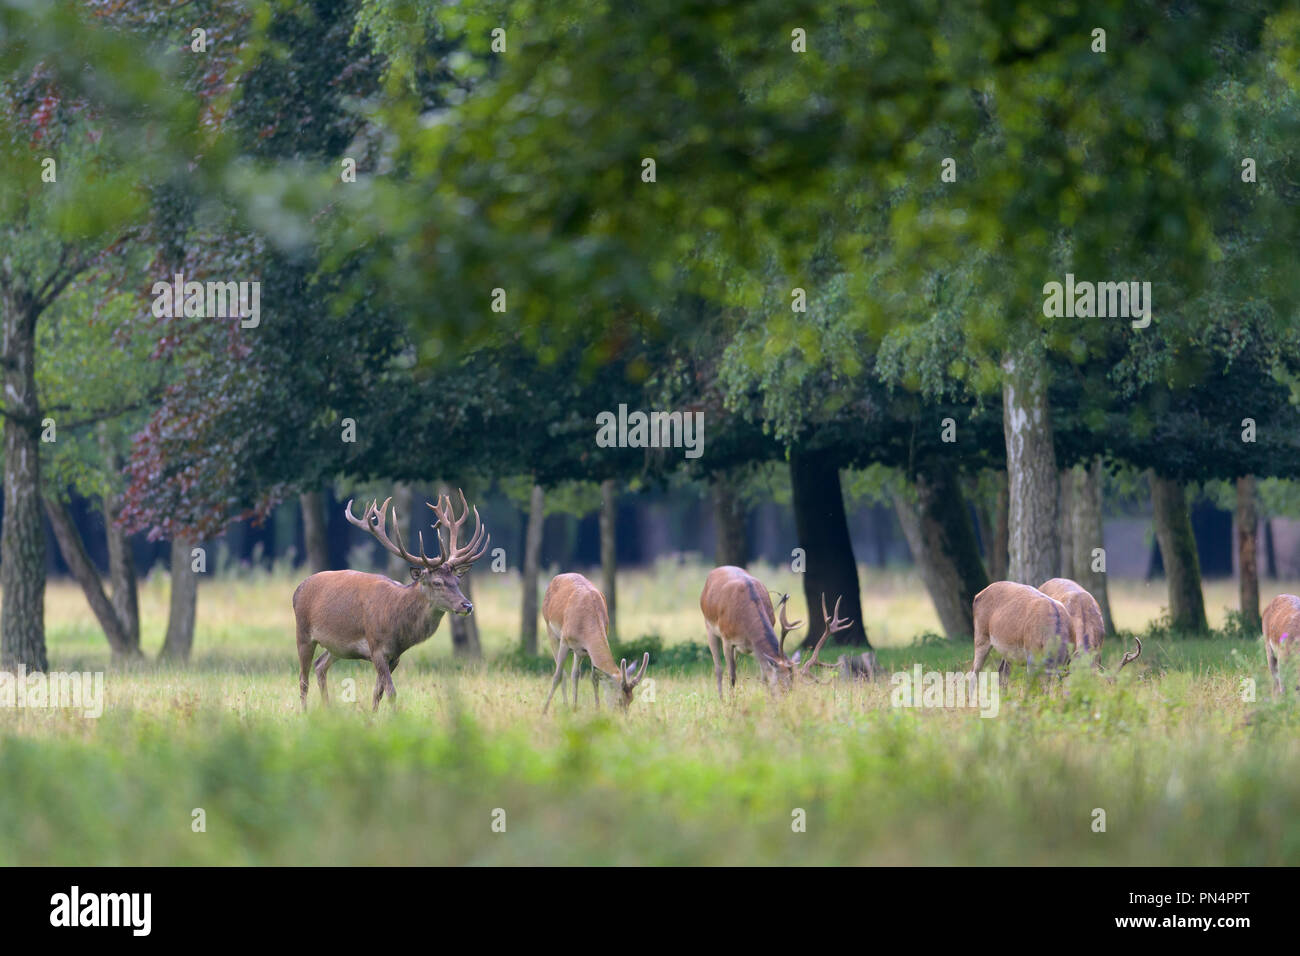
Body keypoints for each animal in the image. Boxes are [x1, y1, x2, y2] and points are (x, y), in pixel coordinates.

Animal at [292, 494, 488, 712]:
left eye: (457, 581)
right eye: (437, 582)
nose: (467, 605)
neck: (398, 628)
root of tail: (298, 588)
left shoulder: (395, 656)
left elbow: (378, 691)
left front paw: (373, 716)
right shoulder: (376, 648)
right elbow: (391, 691)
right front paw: (395, 717)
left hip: (337, 647)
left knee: (319, 666)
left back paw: (327, 709)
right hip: (303, 632)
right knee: (303, 678)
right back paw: (305, 711)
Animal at [540, 572, 650, 712]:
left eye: (631, 700)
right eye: (619, 700)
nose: (623, 716)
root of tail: (557, 577)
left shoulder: (589, 647)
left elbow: (595, 677)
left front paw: (597, 709)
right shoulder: (564, 640)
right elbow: (557, 676)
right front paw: (544, 711)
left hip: (578, 651)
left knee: (575, 673)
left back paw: (574, 706)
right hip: (550, 629)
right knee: (562, 673)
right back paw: (565, 705)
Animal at [696, 567, 847, 697]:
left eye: (794, 686)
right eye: (782, 683)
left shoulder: (757, 644)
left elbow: (763, 678)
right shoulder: (727, 639)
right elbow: (732, 675)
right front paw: (731, 704)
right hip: (709, 626)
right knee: (719, 669)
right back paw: (722, 699)